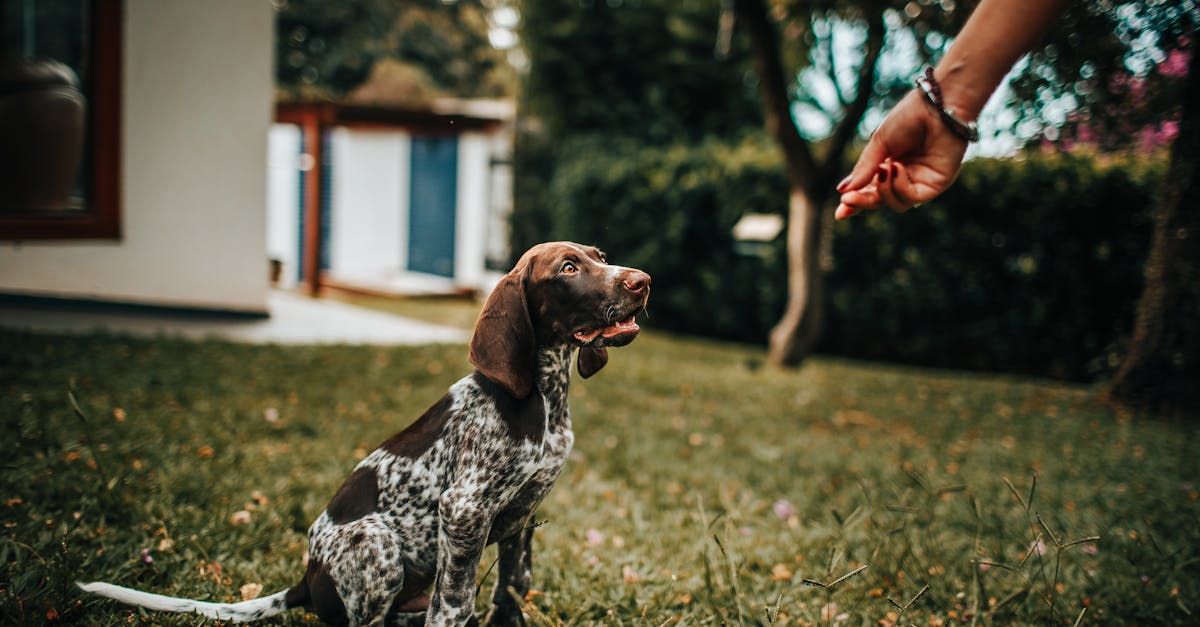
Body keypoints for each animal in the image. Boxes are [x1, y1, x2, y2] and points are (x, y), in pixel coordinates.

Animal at [79, 242, 652, 624]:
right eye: (569, 268)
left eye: (600, 255)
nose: (642, 280)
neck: (543, 399)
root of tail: (305, 582)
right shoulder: (464, 510)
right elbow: (456, 601)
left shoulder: (525, 515)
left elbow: (512, 588)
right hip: (375, 543)